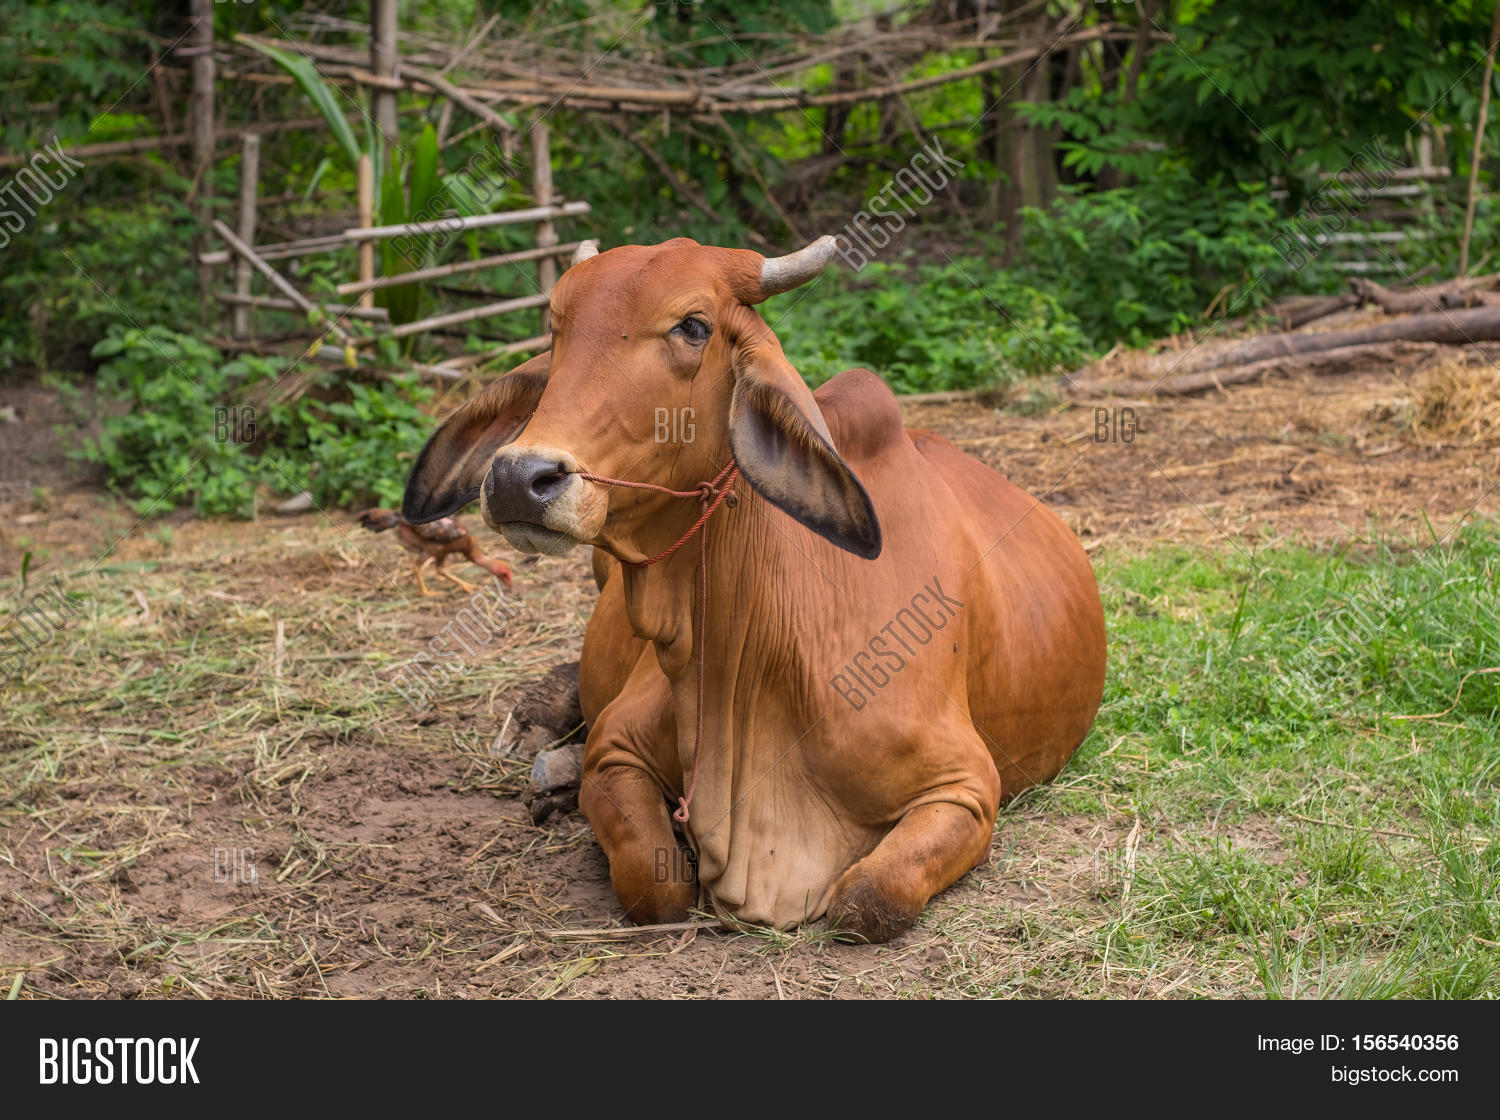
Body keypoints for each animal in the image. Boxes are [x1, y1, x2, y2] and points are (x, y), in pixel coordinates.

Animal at [402, 236, 1106, 942]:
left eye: (693, 326)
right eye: (556, 329)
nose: (519, 479)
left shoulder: (967, 786)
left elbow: (867, 899)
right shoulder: (615, 748)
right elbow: (655, 883)